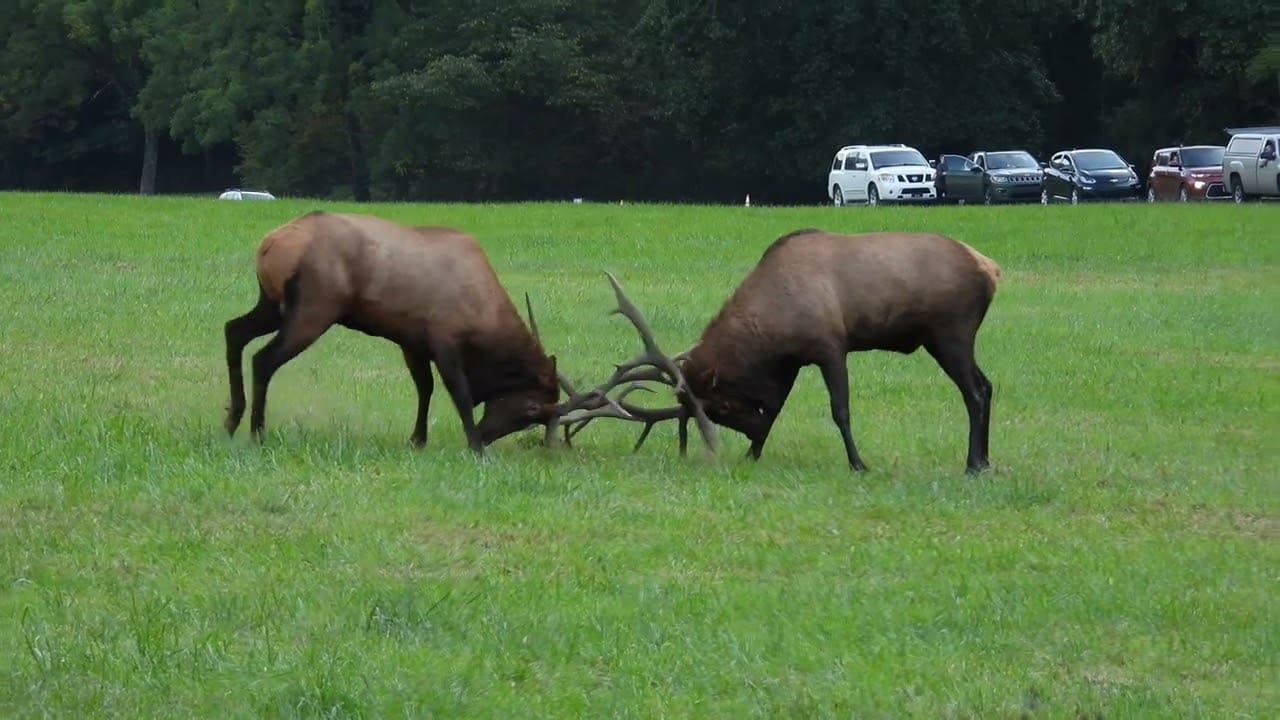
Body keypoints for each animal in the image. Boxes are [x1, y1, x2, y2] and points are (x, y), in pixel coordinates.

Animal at [222, 211, 642, 452]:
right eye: (530, 410)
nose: (488, 435)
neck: (484, 314)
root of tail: (270, 243)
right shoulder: (445, 339)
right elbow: (458, 392)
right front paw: (473, 446)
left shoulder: (412, 341)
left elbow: (423, 388)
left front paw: (417, 439)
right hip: (314, 307)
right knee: (263, 358)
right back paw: (257, 431)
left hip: (271, 303)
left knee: (233, 331)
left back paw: (231, 419)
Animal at [570, 229, 1002, 474]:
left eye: (718, 408)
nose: (748, 434)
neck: (772, 322)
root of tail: (991, 269)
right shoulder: (794, 360)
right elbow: (777, 406)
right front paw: (753, 454)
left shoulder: (830, 345)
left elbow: (840, 410)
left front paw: (858, 463)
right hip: (948, 338)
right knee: (987, 384)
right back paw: (985, 459)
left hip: (950, 333)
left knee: (974, 391)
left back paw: (972, 463)